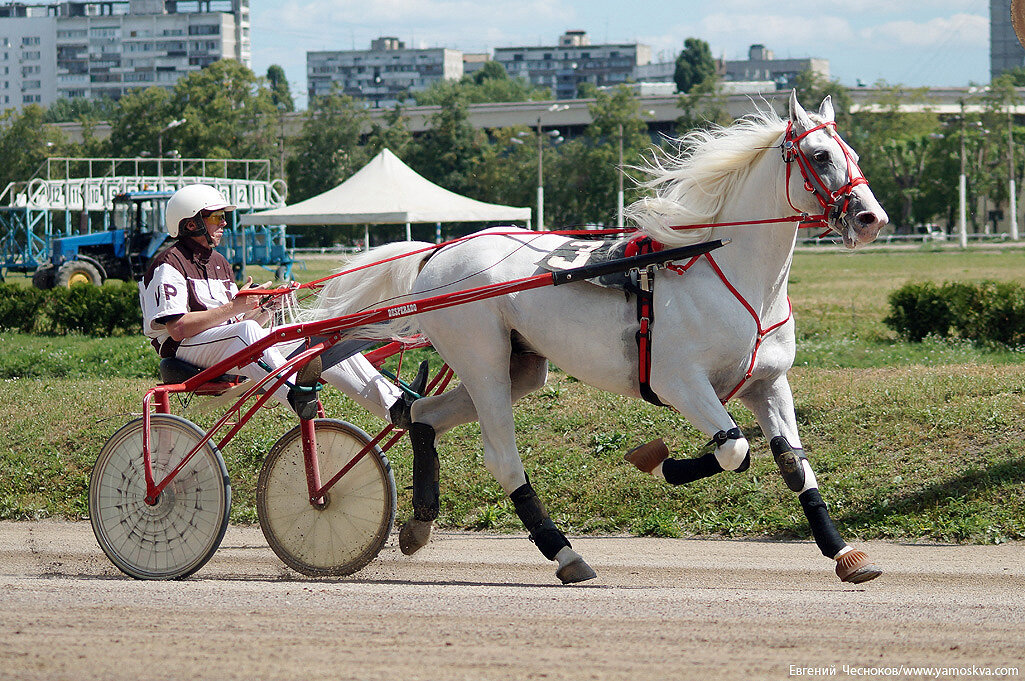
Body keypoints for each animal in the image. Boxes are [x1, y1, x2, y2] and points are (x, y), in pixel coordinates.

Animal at [305, 91, 889, 586]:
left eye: (853, 152)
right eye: (819, 155)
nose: (871, 219)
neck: (730, 275)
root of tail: (439, 251)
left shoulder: (768, 383)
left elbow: (794, 463)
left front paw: (843, 553)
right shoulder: (681, 383)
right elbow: (734, 448)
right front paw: (660, 460)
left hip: (520, 366)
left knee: (423, 415)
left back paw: (420, 521)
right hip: (483, 359)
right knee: (502, 458)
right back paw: (564, 553)